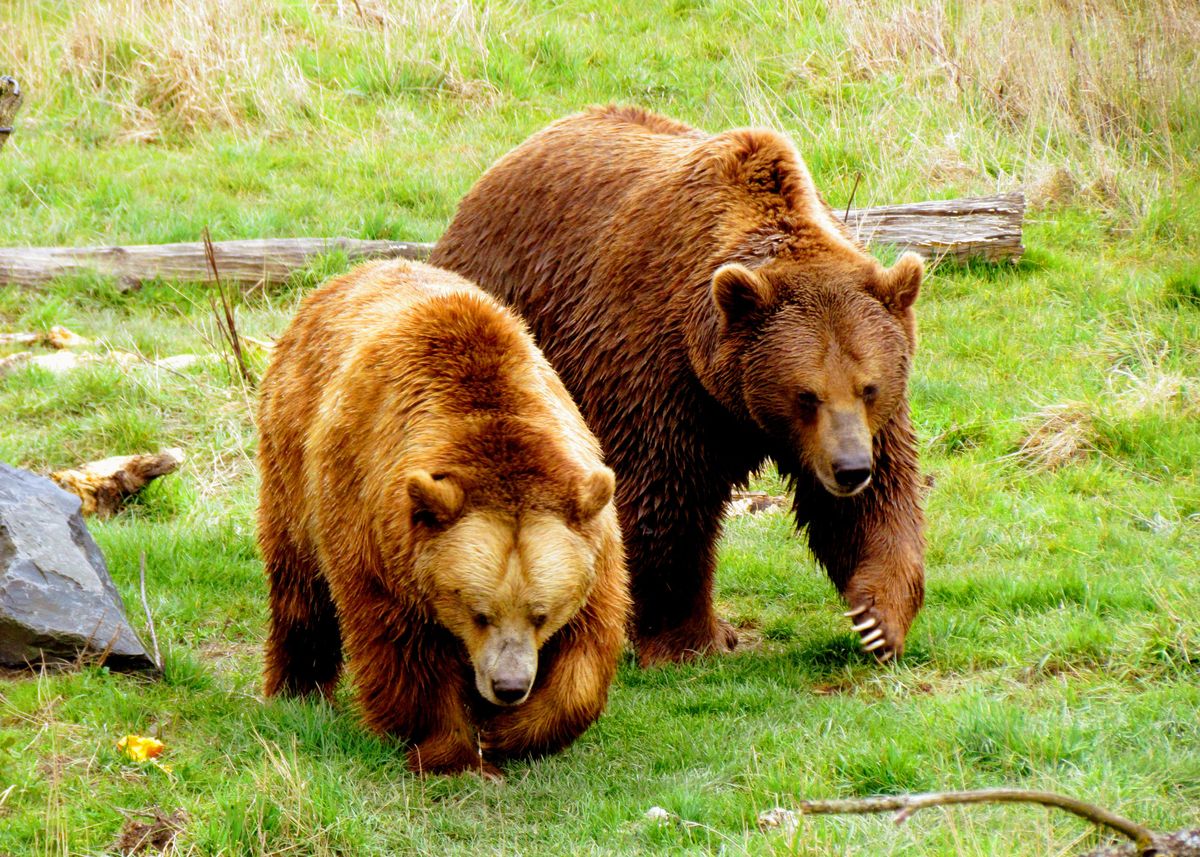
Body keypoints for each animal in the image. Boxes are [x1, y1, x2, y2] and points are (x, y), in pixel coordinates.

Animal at [257, 258, 629, 777]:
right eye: (479, 613)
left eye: (541, 613)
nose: (509, 687)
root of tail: (350, 274)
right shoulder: (376, 533)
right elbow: (404, 655)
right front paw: (454, 752)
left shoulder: (591, 539)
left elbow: (586, 653)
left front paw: (509, 733)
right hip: (292, 453)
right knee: (300, 585)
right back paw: (297, 690)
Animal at [431, 105, 925, 666]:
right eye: (806, 395)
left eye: (869, 388)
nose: (849, 468)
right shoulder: (662, 369)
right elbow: (665, 496)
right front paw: (689, 640)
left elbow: (874, 502)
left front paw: (877, 620)